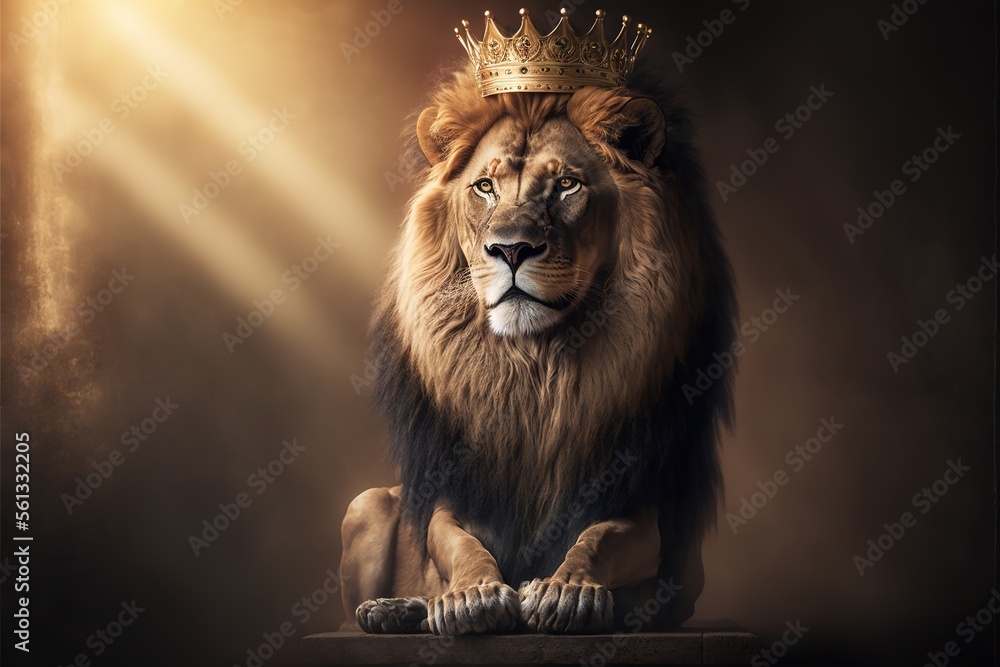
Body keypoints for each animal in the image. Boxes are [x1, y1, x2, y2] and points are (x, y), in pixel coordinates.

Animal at [338, 58, 736, 636]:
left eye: (567, 185)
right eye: (484, 187)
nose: (510, 249)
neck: (533, 372)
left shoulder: (641, 498)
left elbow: (601, 537)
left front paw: (567, 590)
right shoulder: (452, 490)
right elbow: (458, 544)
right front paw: (473, 596)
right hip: (366, 503)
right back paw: (391, 609)